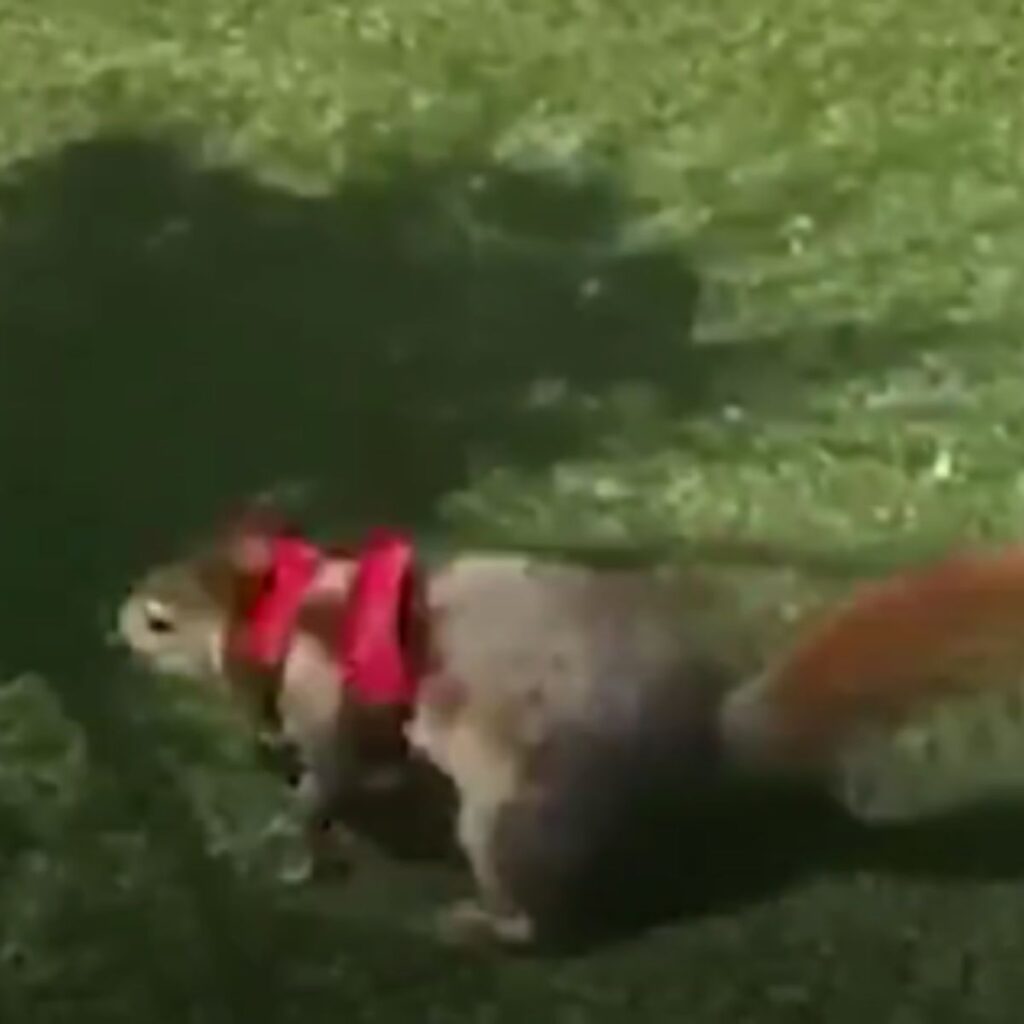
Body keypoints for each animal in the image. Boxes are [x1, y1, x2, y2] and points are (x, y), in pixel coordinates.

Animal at [112, 510, 1024, 947]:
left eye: (160, 621)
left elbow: (334, 771)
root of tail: (706, 744)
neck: (299, 607)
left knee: (544, 918)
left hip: (516, 818)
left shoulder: (332, 695)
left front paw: (298, 827)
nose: (116, 624)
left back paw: (481, 928)